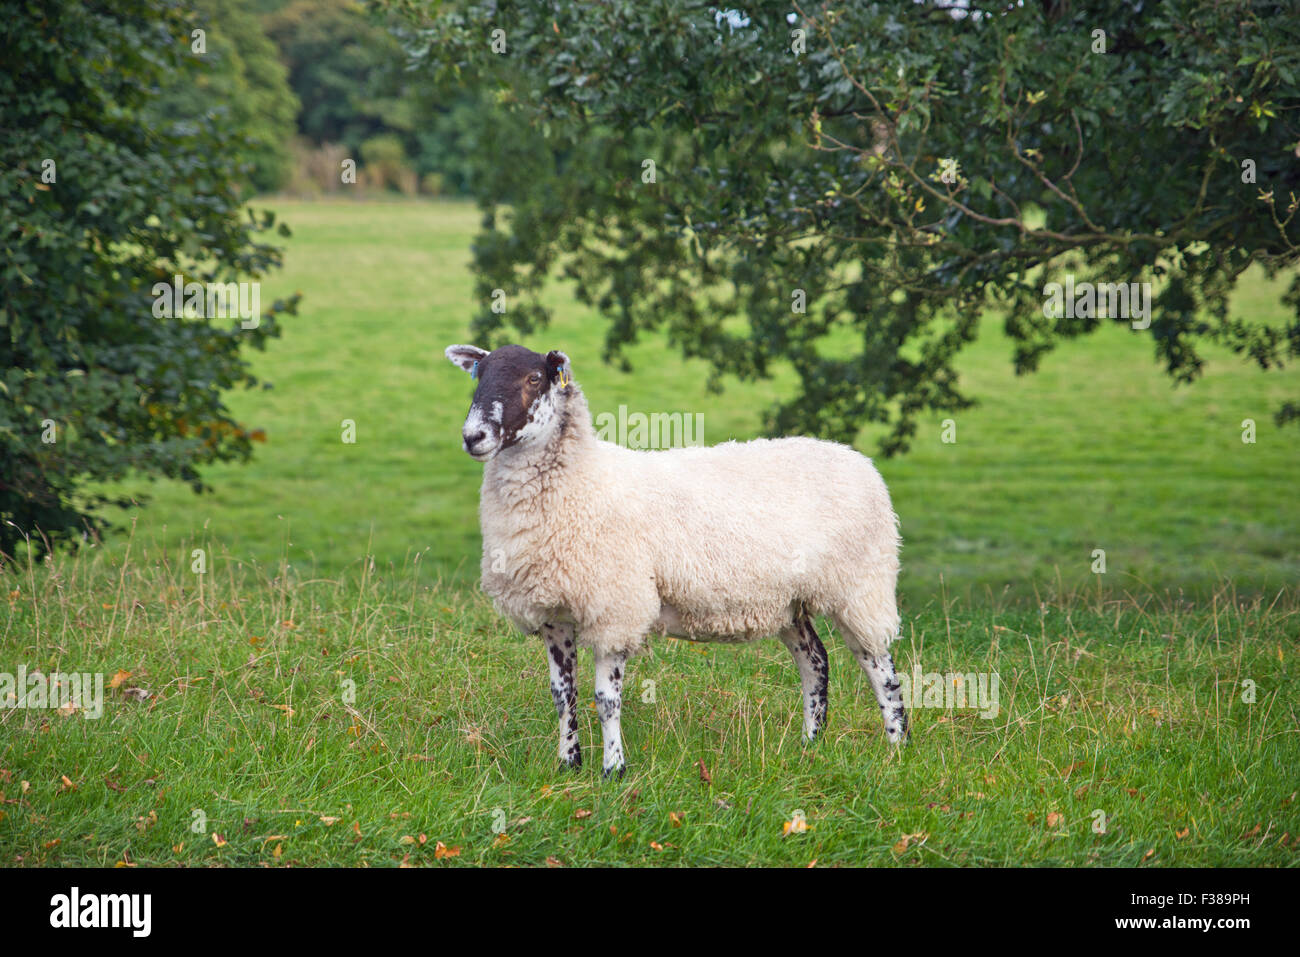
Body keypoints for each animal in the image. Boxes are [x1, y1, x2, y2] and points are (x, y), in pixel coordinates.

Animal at [446, 342, 909, 777]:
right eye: (478, 375)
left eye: (534, 379)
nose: (473, 437)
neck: (582, 479)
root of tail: (858, 459)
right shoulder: (554, 613)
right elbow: (563, 696)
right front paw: (568, 765)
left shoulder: (616, 608)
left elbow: (606, 699)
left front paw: (613, 771)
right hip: (788, 601)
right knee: (815, 662)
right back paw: (810, 744)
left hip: (861, 585)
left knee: (881, 668)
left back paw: (897, 747)